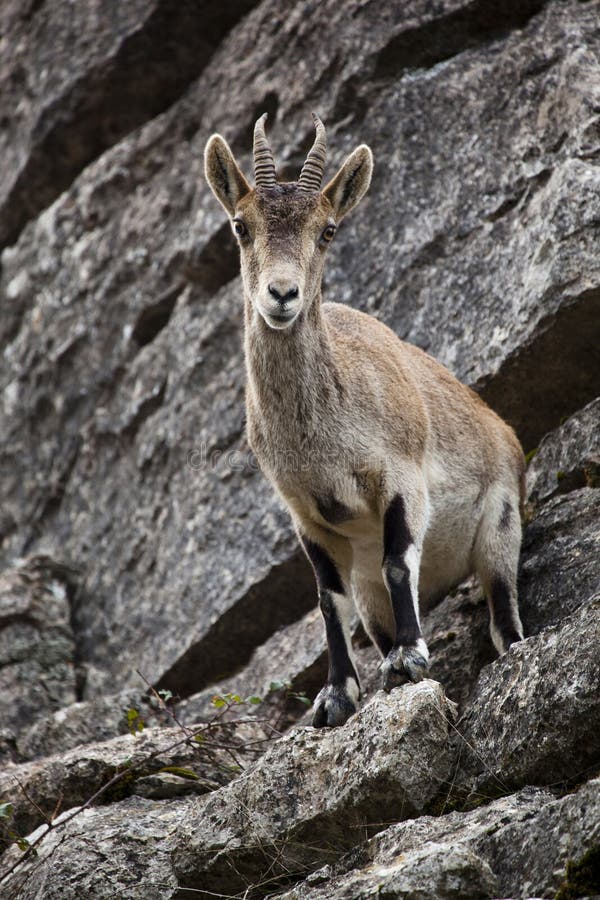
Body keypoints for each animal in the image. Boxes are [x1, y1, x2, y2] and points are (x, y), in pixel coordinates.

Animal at [204, 114, 525, 727]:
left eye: (327, 231)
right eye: (240, 226)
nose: (282, 295)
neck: (323, 433)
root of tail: (505, 430)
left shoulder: (402, 477)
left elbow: (399, 560)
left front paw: (410, 657)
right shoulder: (307, 516)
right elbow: (328, 600)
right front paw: (335, 698)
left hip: (500, 525)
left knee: (503, 618)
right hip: (372, 588)